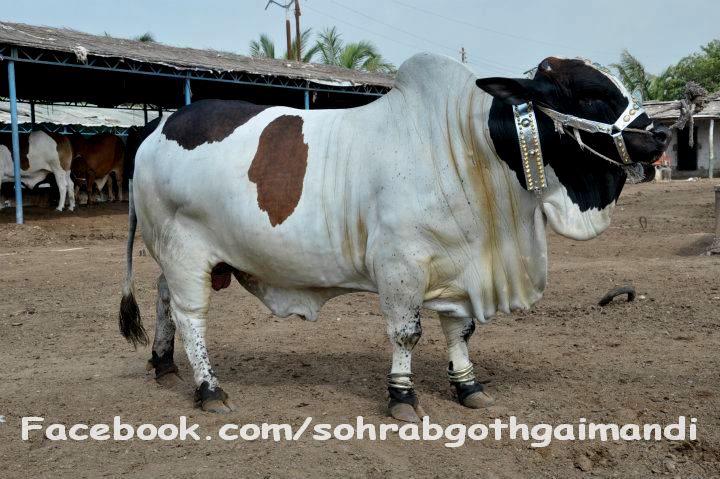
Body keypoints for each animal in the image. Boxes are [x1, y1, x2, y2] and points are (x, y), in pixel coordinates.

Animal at [119, 53, 669, 421]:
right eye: (591, 93)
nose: (660, 134)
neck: (471, 145)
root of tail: (157, 126)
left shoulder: (459, 263)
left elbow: (459, 331)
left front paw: (467, 385)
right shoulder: (401, 264)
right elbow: (406, 332)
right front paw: (402, 395)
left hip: (182, 255)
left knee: (163, 296)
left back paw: (163, 363)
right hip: (185, 250)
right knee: (192, 316)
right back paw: (208, 389)